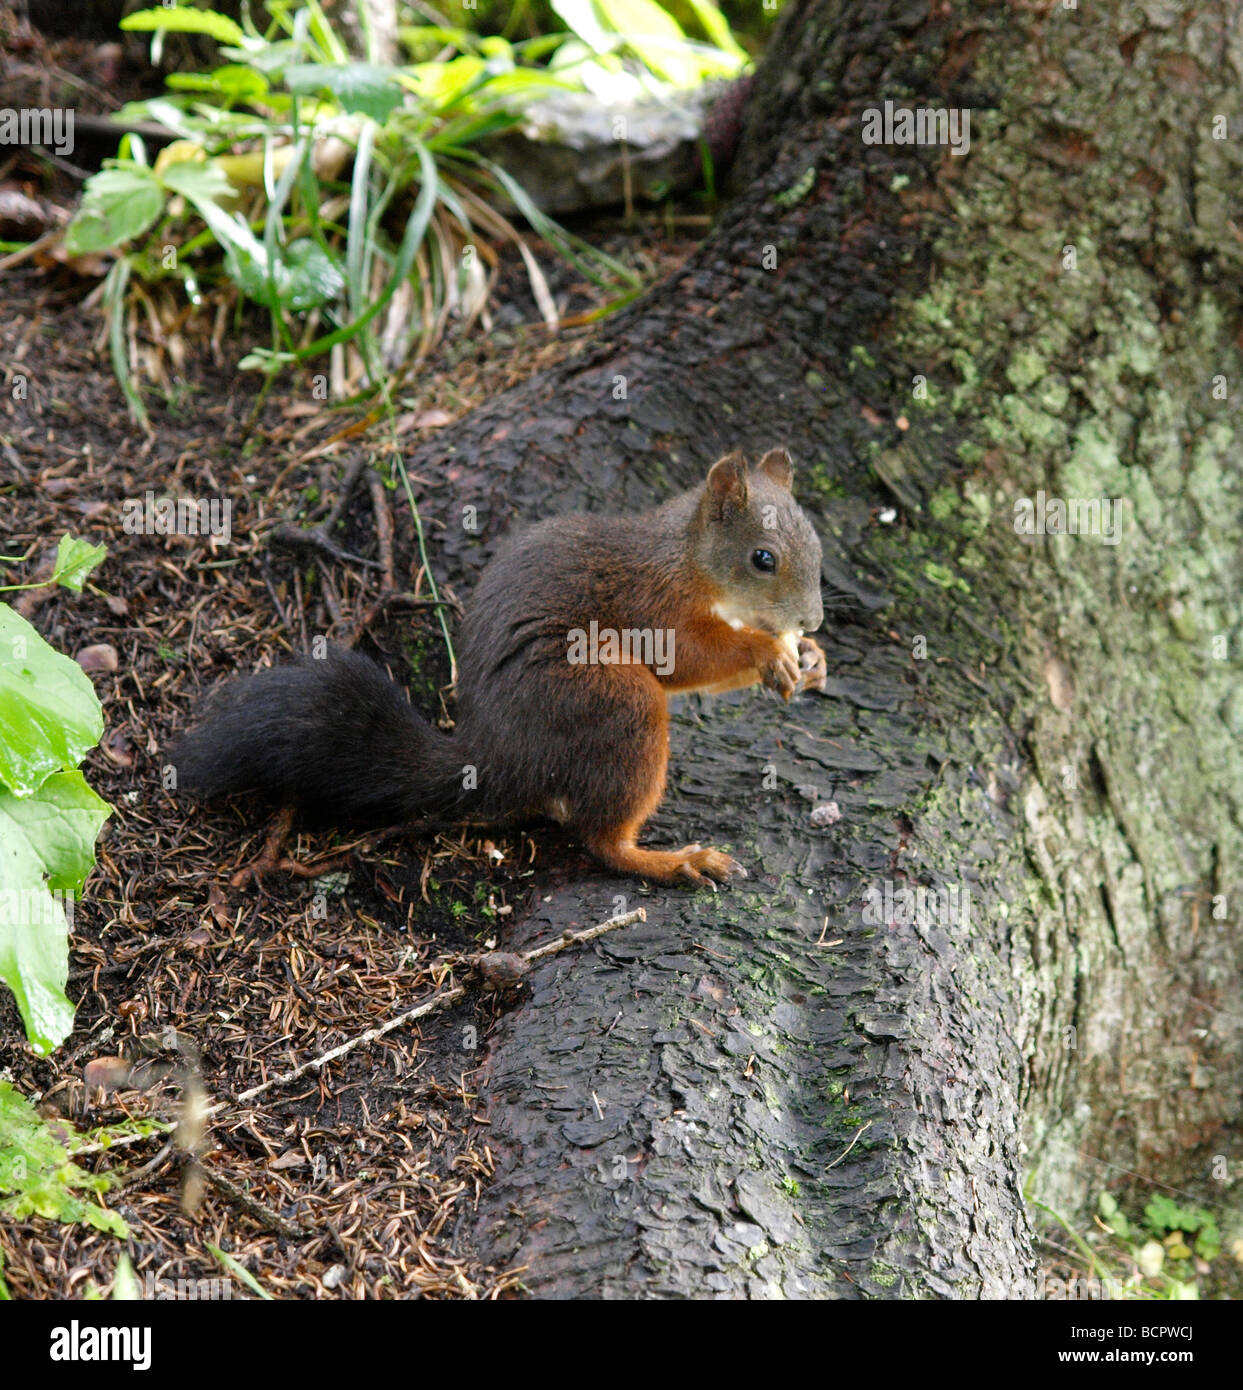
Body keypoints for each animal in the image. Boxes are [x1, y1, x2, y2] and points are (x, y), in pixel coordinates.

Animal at [171, 447, 828, 888]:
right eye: (762, 559)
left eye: (819, 549)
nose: (814, 619)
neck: (687, 559)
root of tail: (496, 758)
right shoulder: (654, 606)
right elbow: (689, 658)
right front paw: (768, 652)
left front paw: (811, 661)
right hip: (612, 700)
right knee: (601, 841)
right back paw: (673, 861)